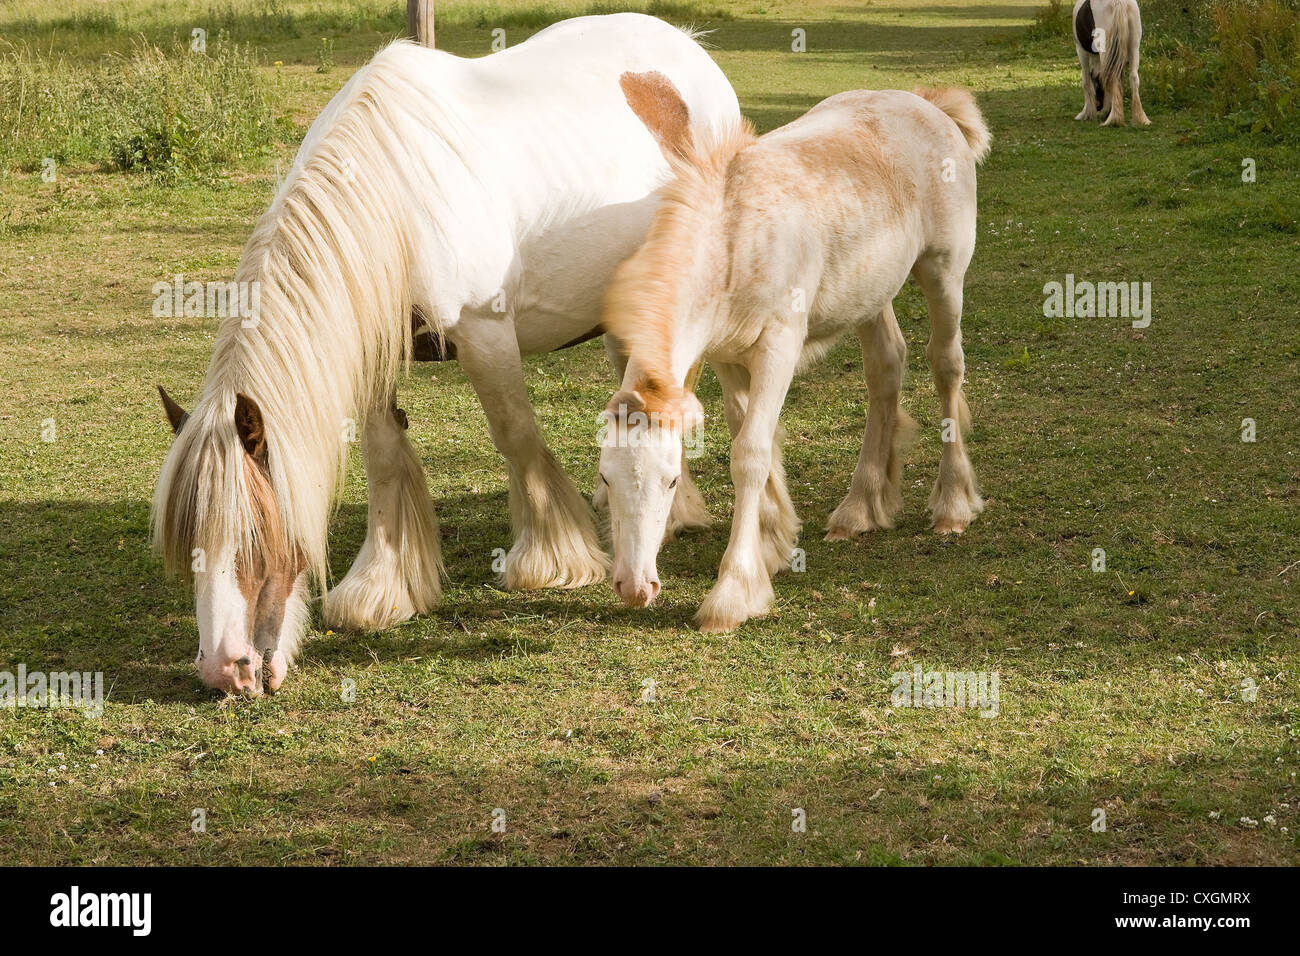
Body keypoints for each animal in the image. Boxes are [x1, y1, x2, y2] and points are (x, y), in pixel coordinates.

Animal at [152, 13, 739, 695]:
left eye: (256, 536)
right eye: (188, 543)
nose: (224, 669)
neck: (394, 201)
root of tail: (688, 45)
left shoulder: (484, 331)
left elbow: (516, 435)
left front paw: (551, 558)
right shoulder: (375, 351)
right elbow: (384, 458)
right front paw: (381, 588)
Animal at [596, 84, 990, 632]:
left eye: (672, 479)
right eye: (605, 477)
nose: (634, 588)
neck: (735, 238)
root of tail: (930, 104)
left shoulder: (778, 345)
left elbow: (750, 453)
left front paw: (733, 592)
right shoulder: (727, 355)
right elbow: (746, 431)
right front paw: (771, 542)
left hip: (944, 271)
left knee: (946, 365)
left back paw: (952, 504)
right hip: (869, 295)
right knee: (886, 369)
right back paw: (859, 509)